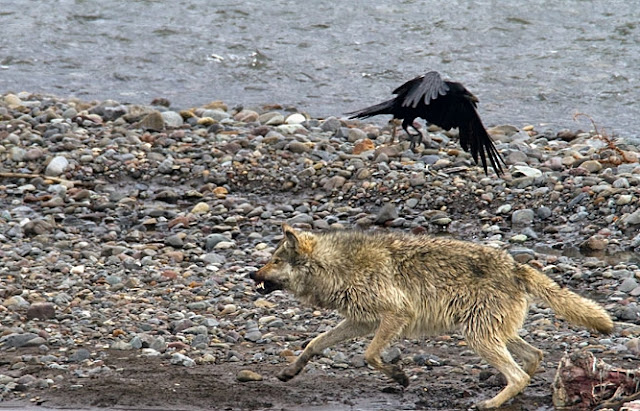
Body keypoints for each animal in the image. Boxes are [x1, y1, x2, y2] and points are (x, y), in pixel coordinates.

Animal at [250, 224, 614, 409]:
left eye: (274, 260)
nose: (253, 275)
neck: (337, 266)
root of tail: (516, 267)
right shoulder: (362, 321)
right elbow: (314, 342)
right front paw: (290, 372)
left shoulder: (394, 315)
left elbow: (370, 355)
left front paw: (399, 376)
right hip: (493, 334)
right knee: (534, 356)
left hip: (478, 337)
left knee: (519, 374)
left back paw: (490, 403)